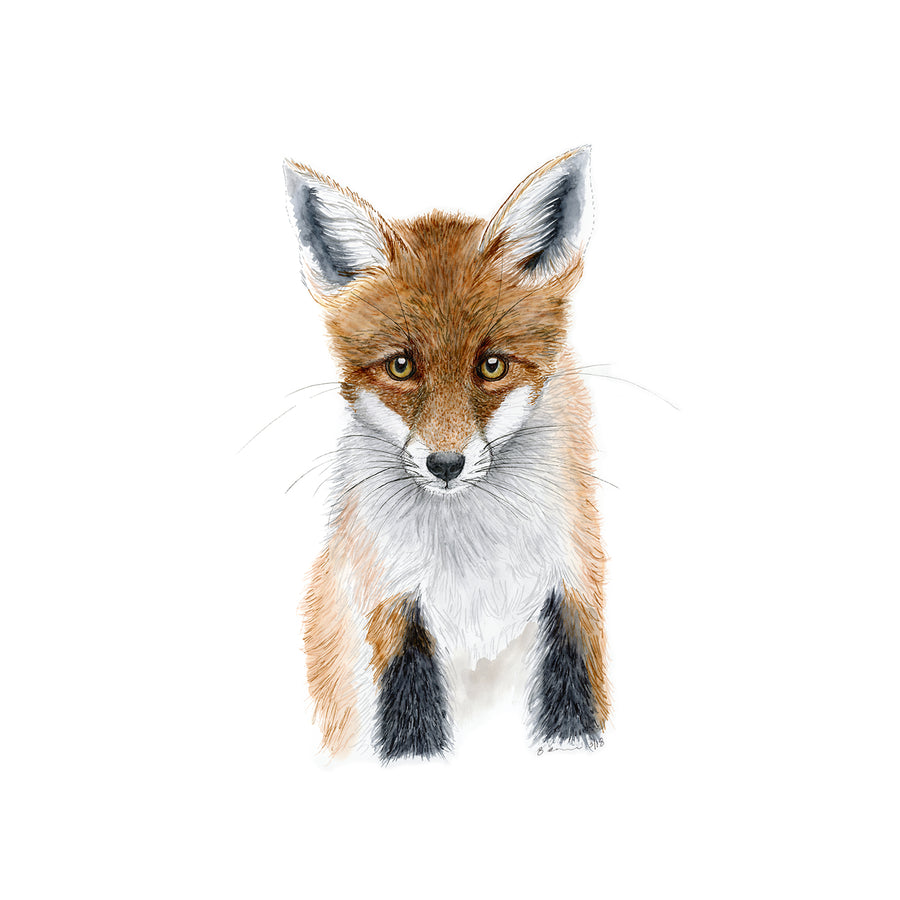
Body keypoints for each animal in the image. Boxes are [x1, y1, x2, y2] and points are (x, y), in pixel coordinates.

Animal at [282, 147, 610, 761]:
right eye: (401, 366)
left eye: (492, 366)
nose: (446, 465)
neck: (475, 569)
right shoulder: (395, 609)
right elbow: (412, 734)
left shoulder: (572, 593)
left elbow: (572, 718)